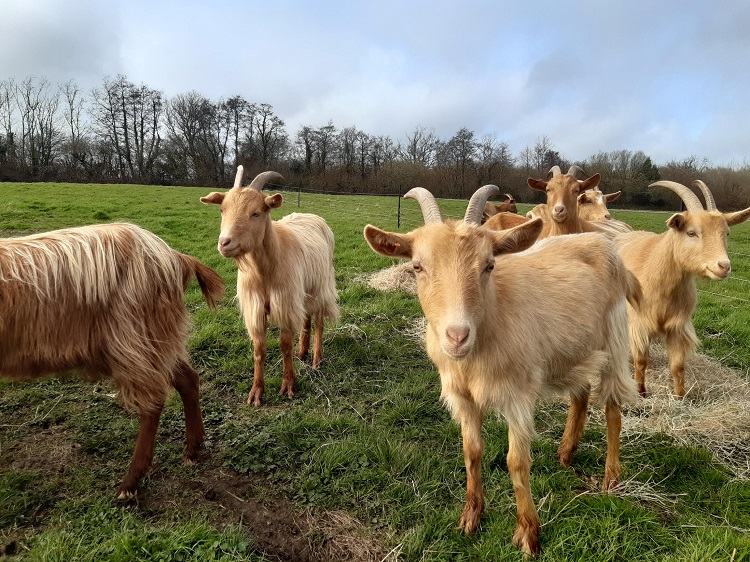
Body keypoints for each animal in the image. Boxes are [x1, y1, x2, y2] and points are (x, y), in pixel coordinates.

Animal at [0, 222, 224, 499]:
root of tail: (173, 255)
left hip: (133, 340)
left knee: (153, 401)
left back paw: (130, 482)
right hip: (154, 340)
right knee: (187, 380)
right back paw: (193, 449)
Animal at [201, 166, 339, 406]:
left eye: (256, 213)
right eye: (221, 210)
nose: (224, 243)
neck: (264, 270)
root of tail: (312, 216)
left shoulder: (285, 303)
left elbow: (284, 345)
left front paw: (289, 385)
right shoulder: (255, 308)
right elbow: (259, 349)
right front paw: (256, 391)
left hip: (320, 286)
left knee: (319, 321)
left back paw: (316, 359)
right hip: (302, 291)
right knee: (306, 318)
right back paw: (302, 352)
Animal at [363, 185, 638, 556]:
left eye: (489, 265)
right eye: (417, 266)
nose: (457, 336)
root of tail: (601, 241)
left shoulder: (518, 395)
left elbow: (516, 462)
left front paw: (528, 533)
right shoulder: (462, 395)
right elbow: (471, 451)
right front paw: (470, 516)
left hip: (615, 338)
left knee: (612, 406)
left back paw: (611, 478)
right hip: (575, 349)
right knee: (580, 394)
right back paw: (566, 452)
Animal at [615, 180, 750, 397]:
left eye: (726, 233)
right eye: (691, 232)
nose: (724, 266)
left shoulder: (677, 327)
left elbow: (678, 366)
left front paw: (680, 396)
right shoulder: (638, 323)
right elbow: (640, 360)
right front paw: (641, 392)